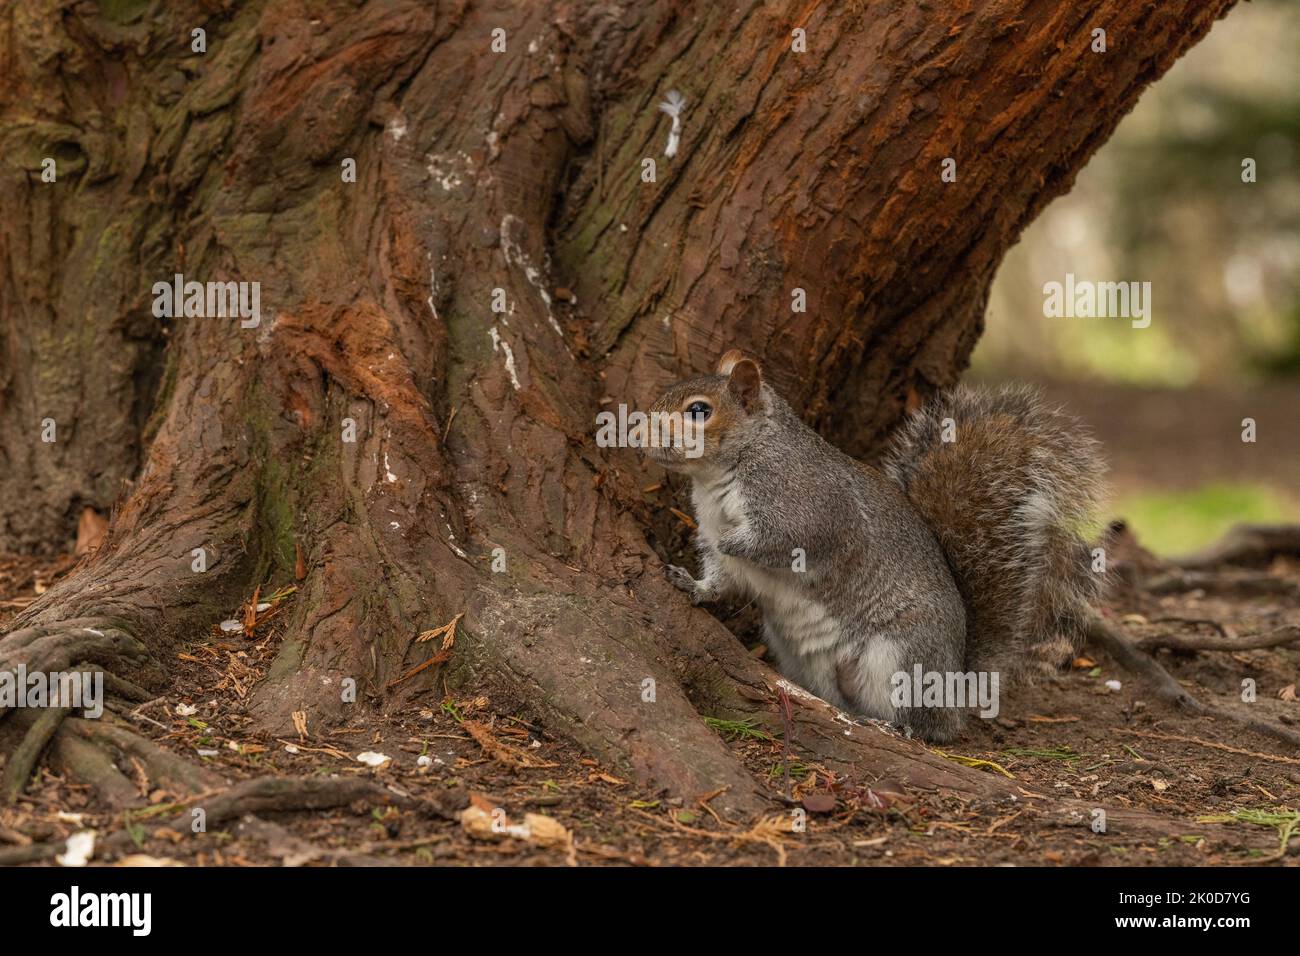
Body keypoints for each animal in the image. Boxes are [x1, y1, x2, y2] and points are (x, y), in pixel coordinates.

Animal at [644, 349, 1105, 742]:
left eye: (699, 411)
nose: (639, 436)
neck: (722, 474)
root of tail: (956, 685)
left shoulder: (806, 506)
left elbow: (783, 541)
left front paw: (727, 541)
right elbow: (719, 579)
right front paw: (691, 583)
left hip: (904, 654)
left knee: (930, 724)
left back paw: (903, 728)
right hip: (806, 657)